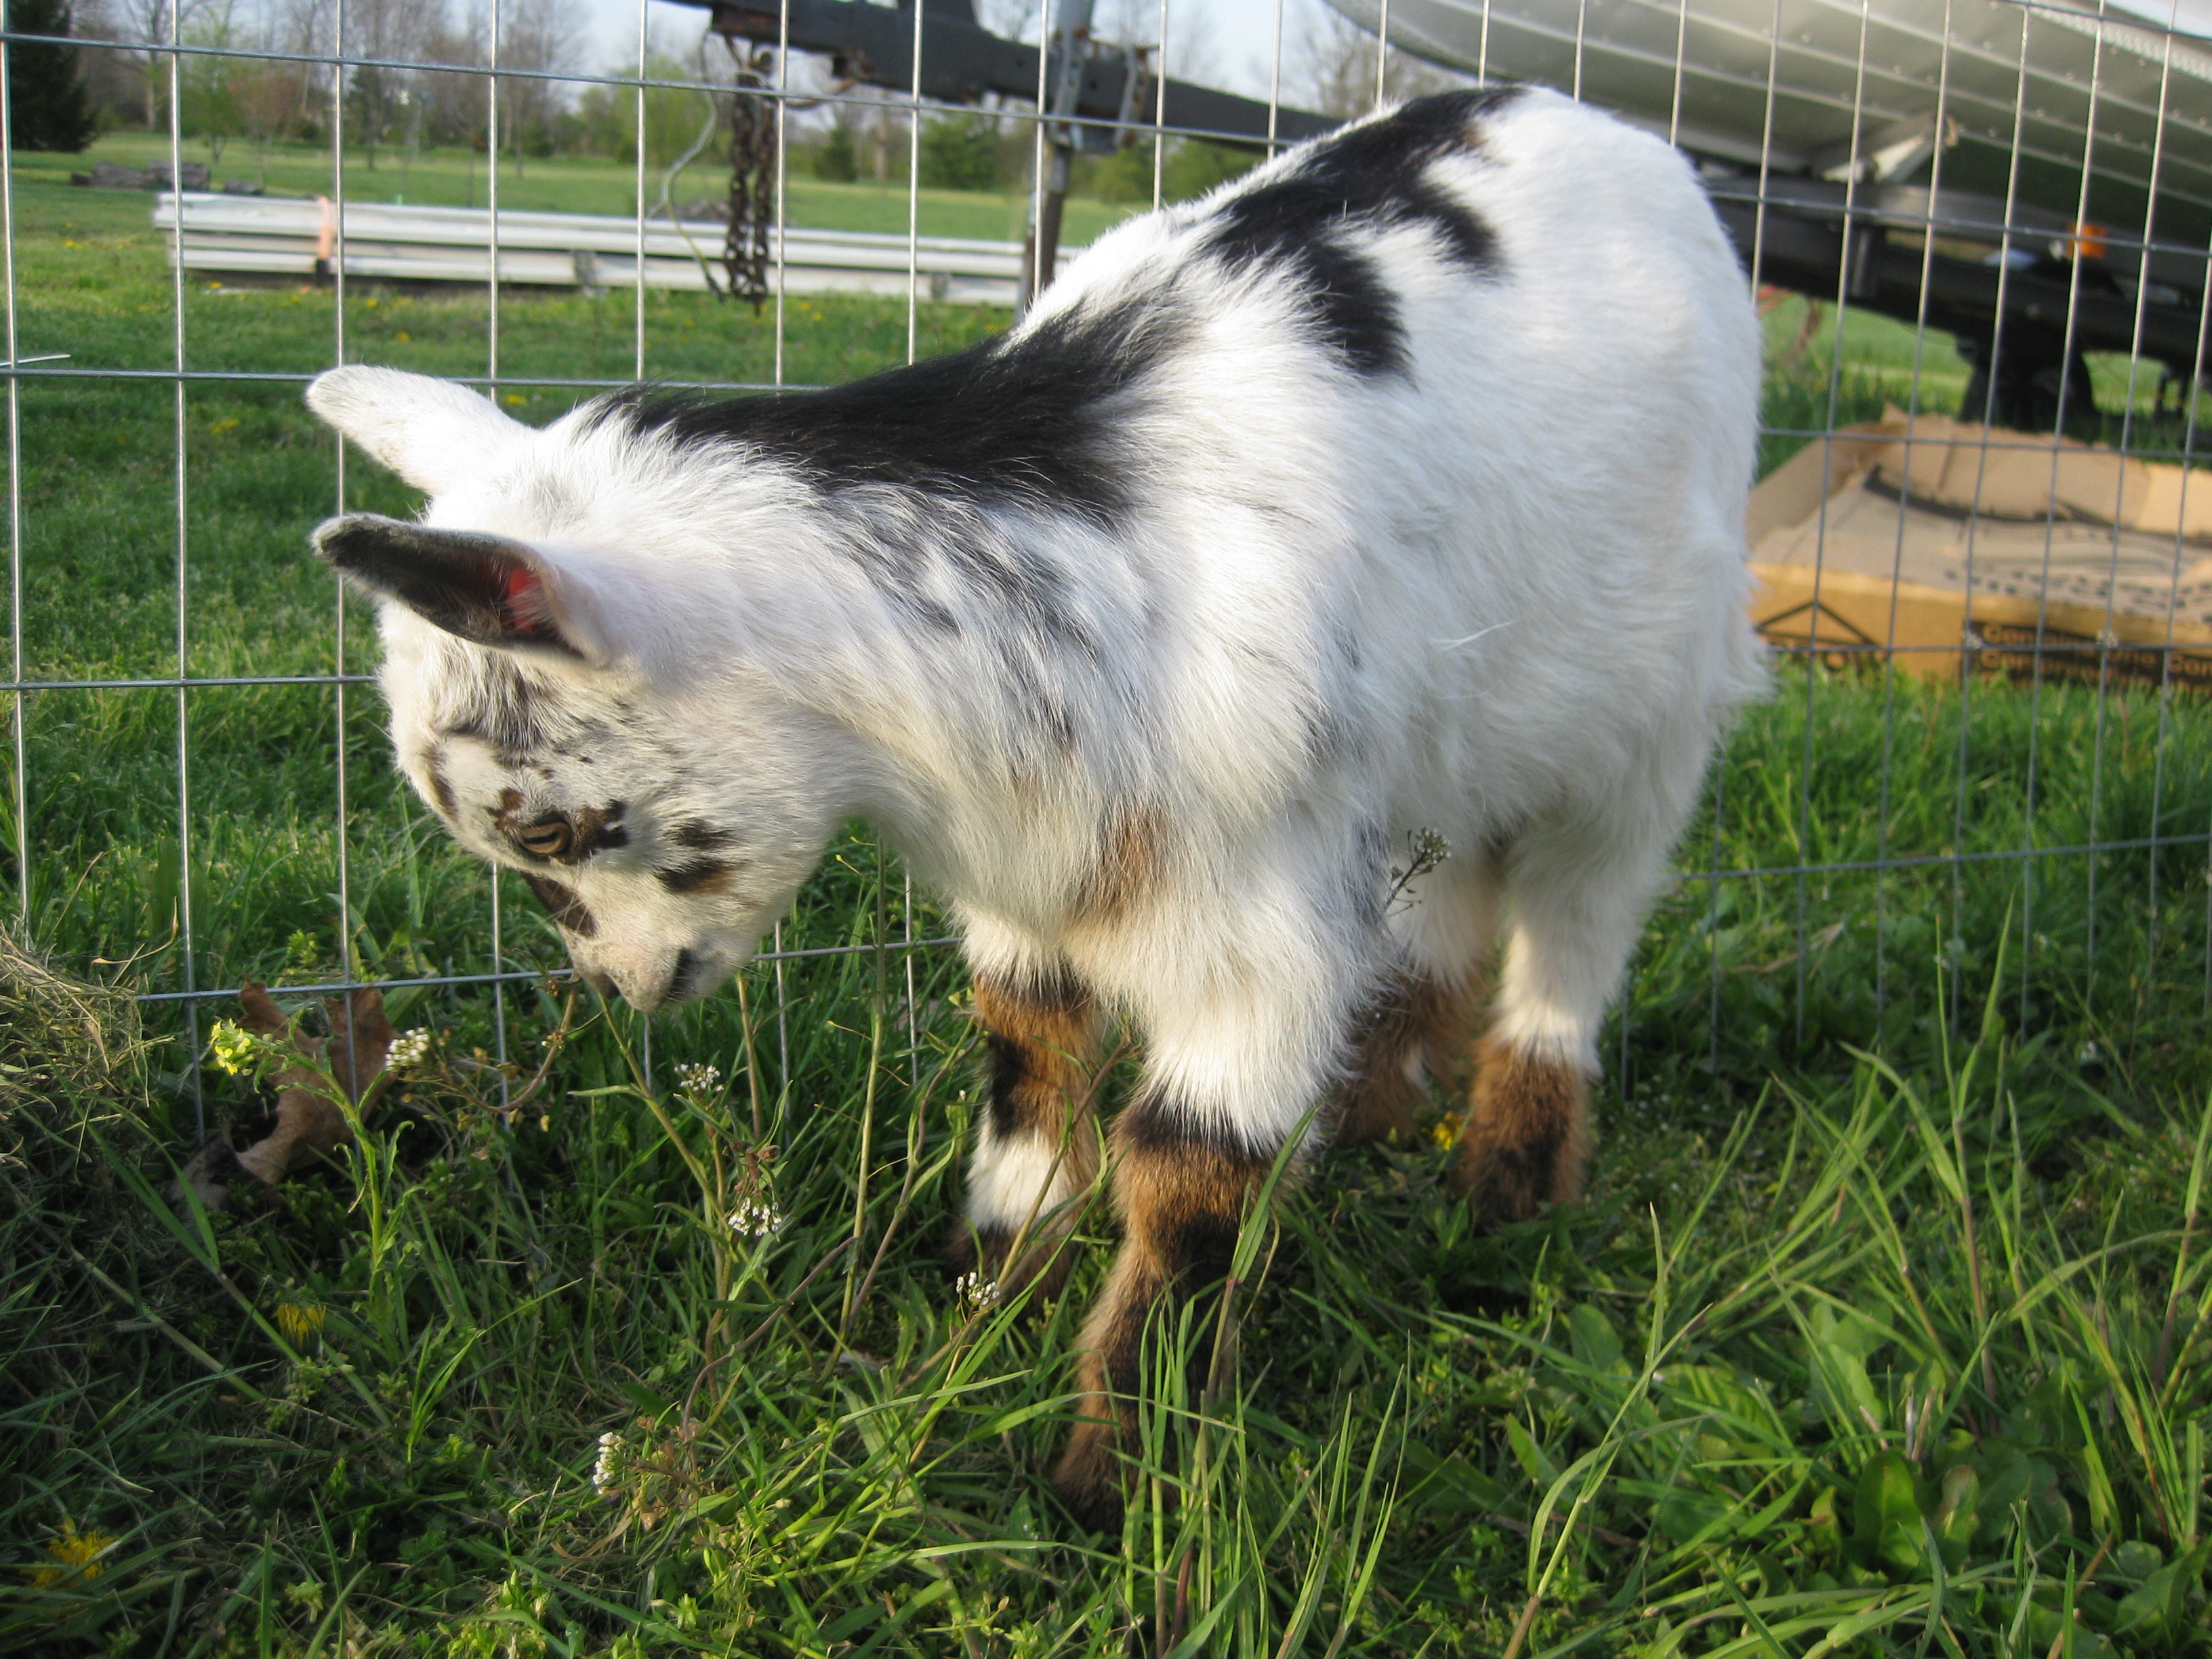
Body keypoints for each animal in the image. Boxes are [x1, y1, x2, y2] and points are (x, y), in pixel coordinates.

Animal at [304, 85, 1763, 1529]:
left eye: (547, 829)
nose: (618, 987)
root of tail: (1614, 132)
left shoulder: (1260, 929)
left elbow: (1187, 1175)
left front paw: (1113, 1486)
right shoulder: (1032, 888)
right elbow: (1027, 1076)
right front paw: (976, 1315)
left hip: (1644, 730)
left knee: (1572, 931)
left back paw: (1507, 1189)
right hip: (1458, 733)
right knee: (1451, 892)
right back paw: (1373, 1113)